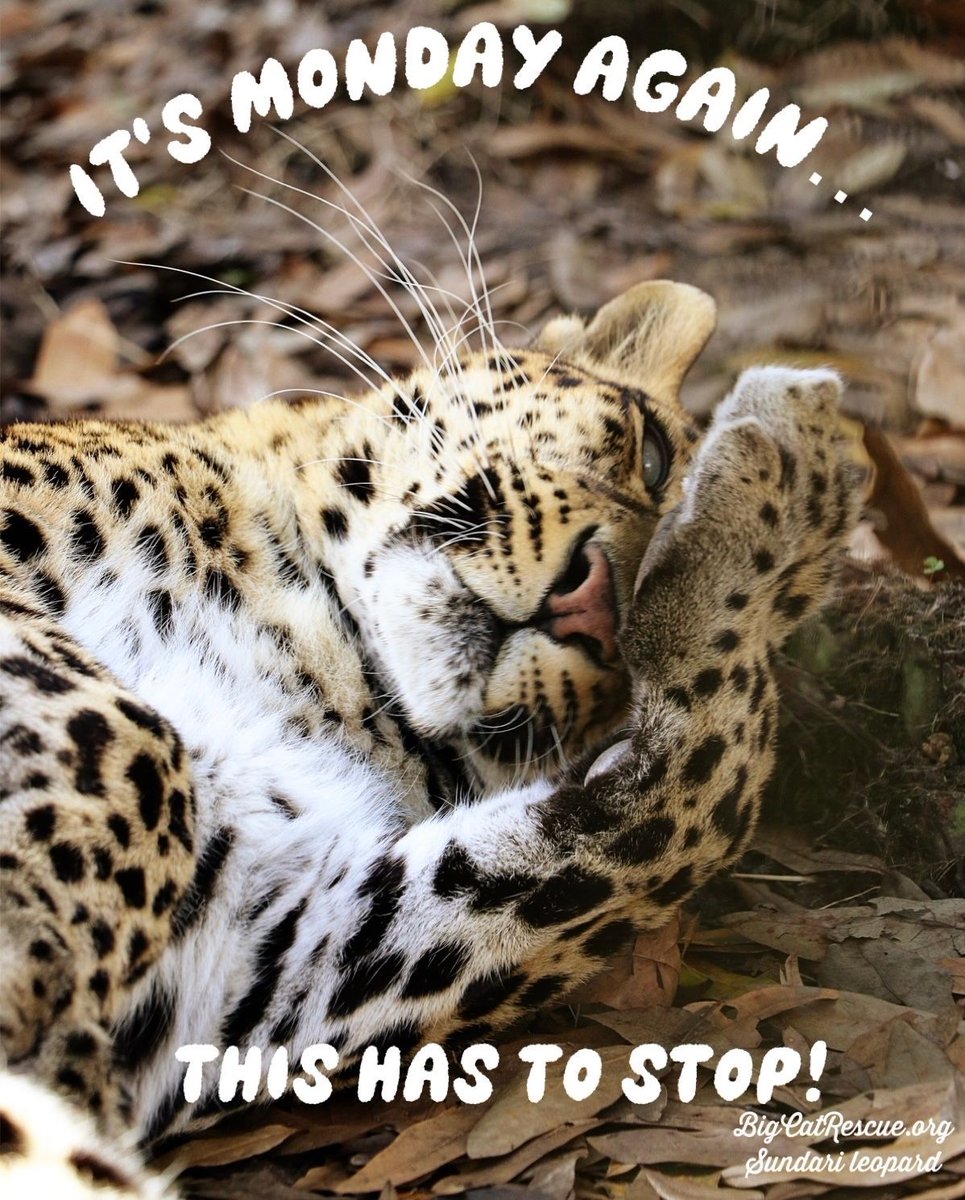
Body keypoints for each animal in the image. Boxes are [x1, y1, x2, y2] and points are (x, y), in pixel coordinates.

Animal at [0, 277, 859, 1195]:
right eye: (654, 454)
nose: (595, 610)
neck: (313, 658)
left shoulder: (260, 965)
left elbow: (687, 807)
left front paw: (769, 525)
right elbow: (130, 732)